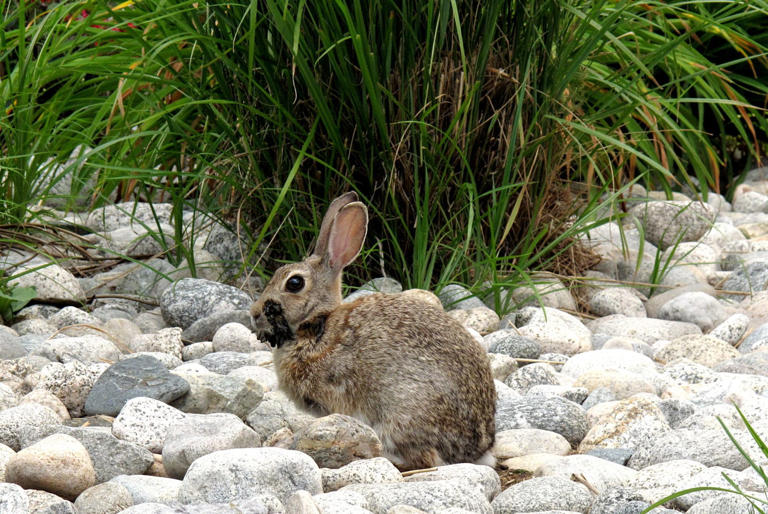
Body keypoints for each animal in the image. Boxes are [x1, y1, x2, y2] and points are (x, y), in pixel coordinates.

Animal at [250, 192, 496, 470]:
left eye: (294, 283)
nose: (254, 313)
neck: (317, 324)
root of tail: (477, 449)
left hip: (401, 412)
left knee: (424, 457)